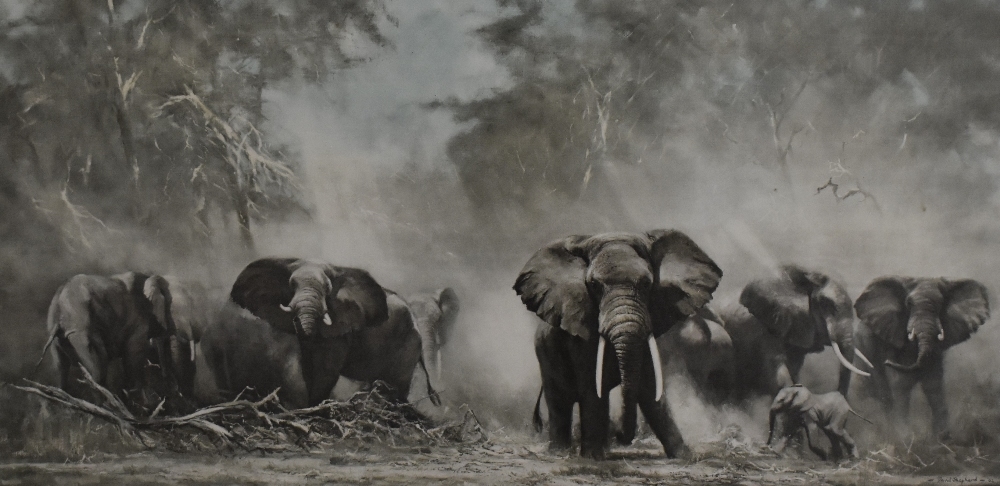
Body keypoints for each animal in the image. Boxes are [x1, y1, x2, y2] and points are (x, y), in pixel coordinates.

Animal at [43, 272, 177, 407]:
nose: (168, 396)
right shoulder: (138, 322)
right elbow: (133, 356)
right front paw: (144, 404)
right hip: (81, 332)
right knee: (98, 368)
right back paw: (107, 407)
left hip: (58, 335)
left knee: (60, 368)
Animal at [515, 230, 723, 459]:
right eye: (594, 285)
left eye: (647, 284)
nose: (619, 435)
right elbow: (593, 389)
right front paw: (593, 458)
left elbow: (649, 388)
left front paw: (684, 456)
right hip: (545, 353)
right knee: (559, 401)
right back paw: (560, 452)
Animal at [852, 276, 990, 439]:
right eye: (909, 304)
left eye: (940, 304)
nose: (887, 362)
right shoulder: (890, 337)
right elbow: (900, 382)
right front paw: (905, 436)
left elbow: (933, 383)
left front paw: (943, 437)